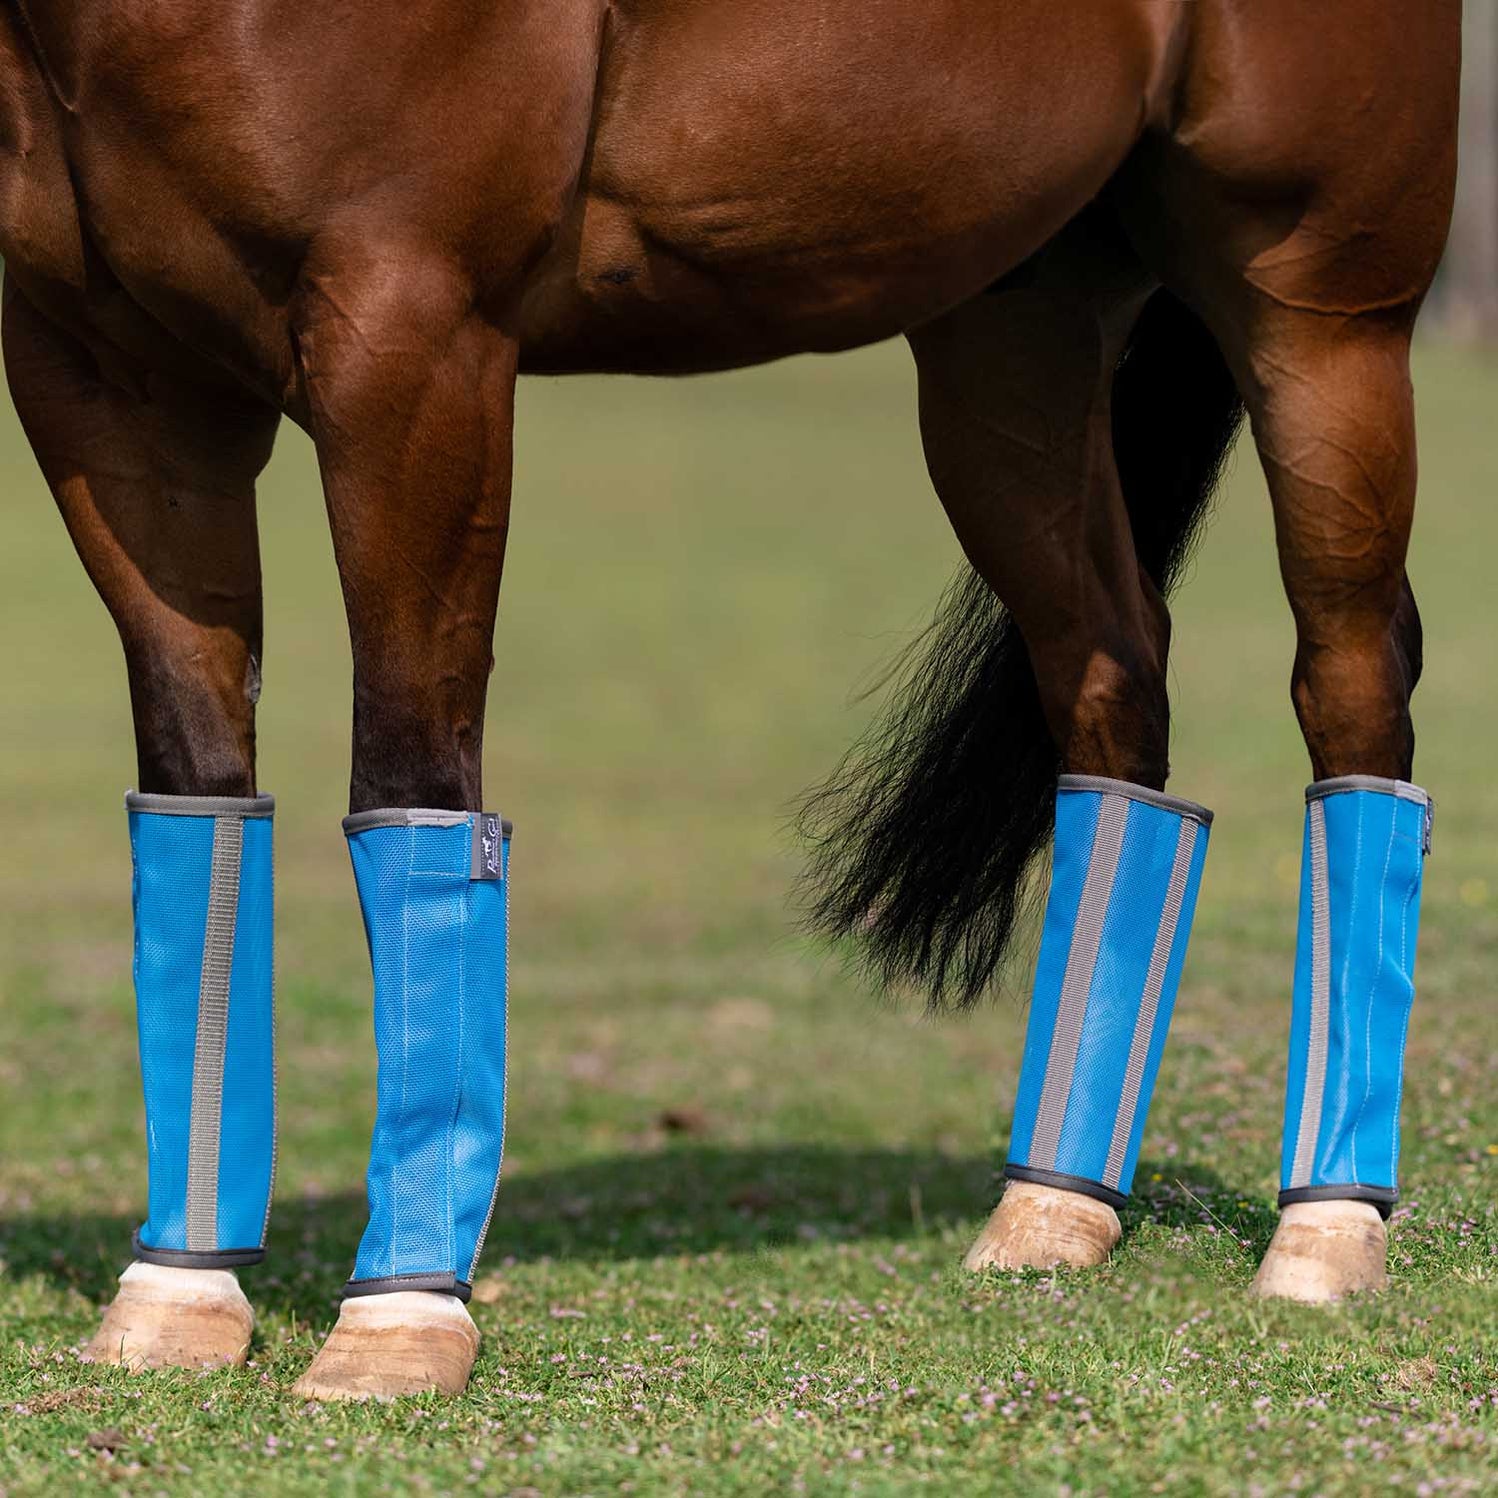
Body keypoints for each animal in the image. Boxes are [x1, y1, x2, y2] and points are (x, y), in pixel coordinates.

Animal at [0, 0, 1459, 1398]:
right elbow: (198, 791)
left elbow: (413, 780)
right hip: (1010, 339)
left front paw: (399, 1321)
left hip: (1311, 309)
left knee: (1350, 689)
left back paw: (1325, 1226)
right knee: (1113, 686)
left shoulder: (409, 343)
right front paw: (177, 1297)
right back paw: (1054, 1208)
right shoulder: (106, 380)